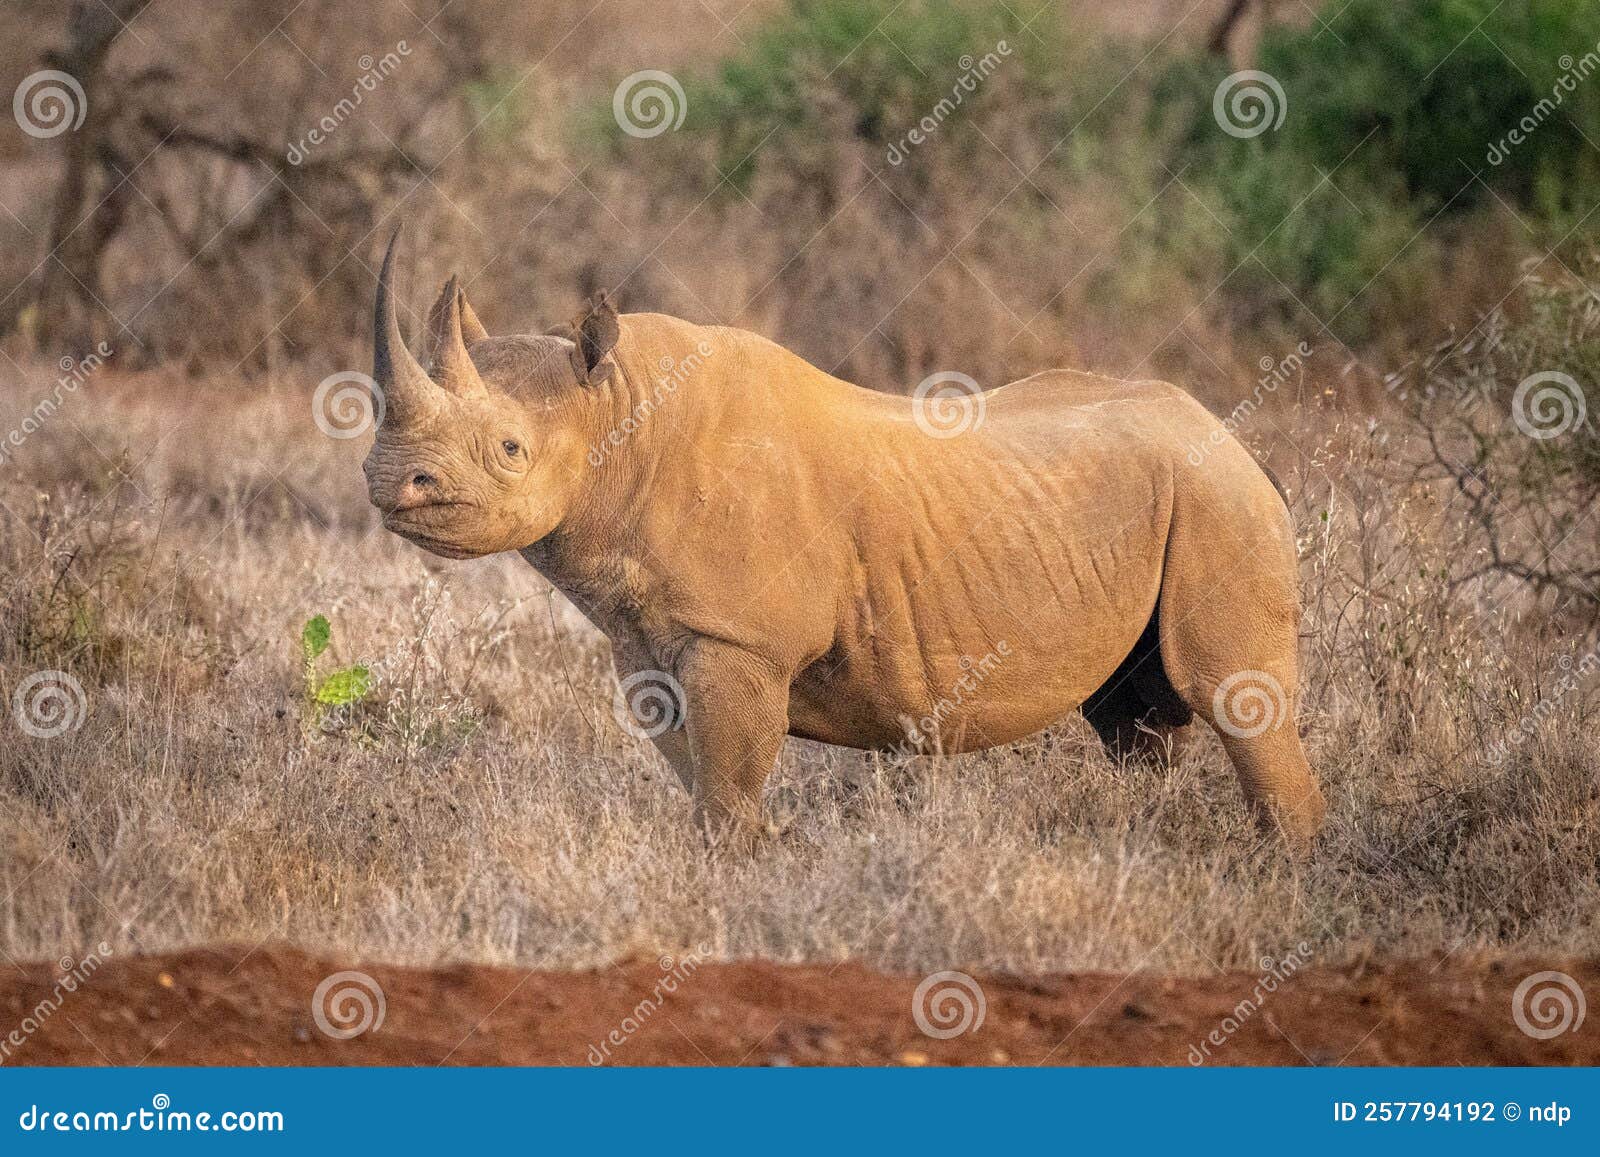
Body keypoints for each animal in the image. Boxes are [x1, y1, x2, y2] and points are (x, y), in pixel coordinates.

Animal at [362, 233, 1326, 850]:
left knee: (1234, 695)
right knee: (1133, 719)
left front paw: (740, 876)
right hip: (1174, 494)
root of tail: (1236, 440)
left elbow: (726, 791)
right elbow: (701, 778)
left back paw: (1283, 871)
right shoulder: (647, 642)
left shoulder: (739, 639)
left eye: (509, 450)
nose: (388, 481)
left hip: (1218, 500)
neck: (618, 423)